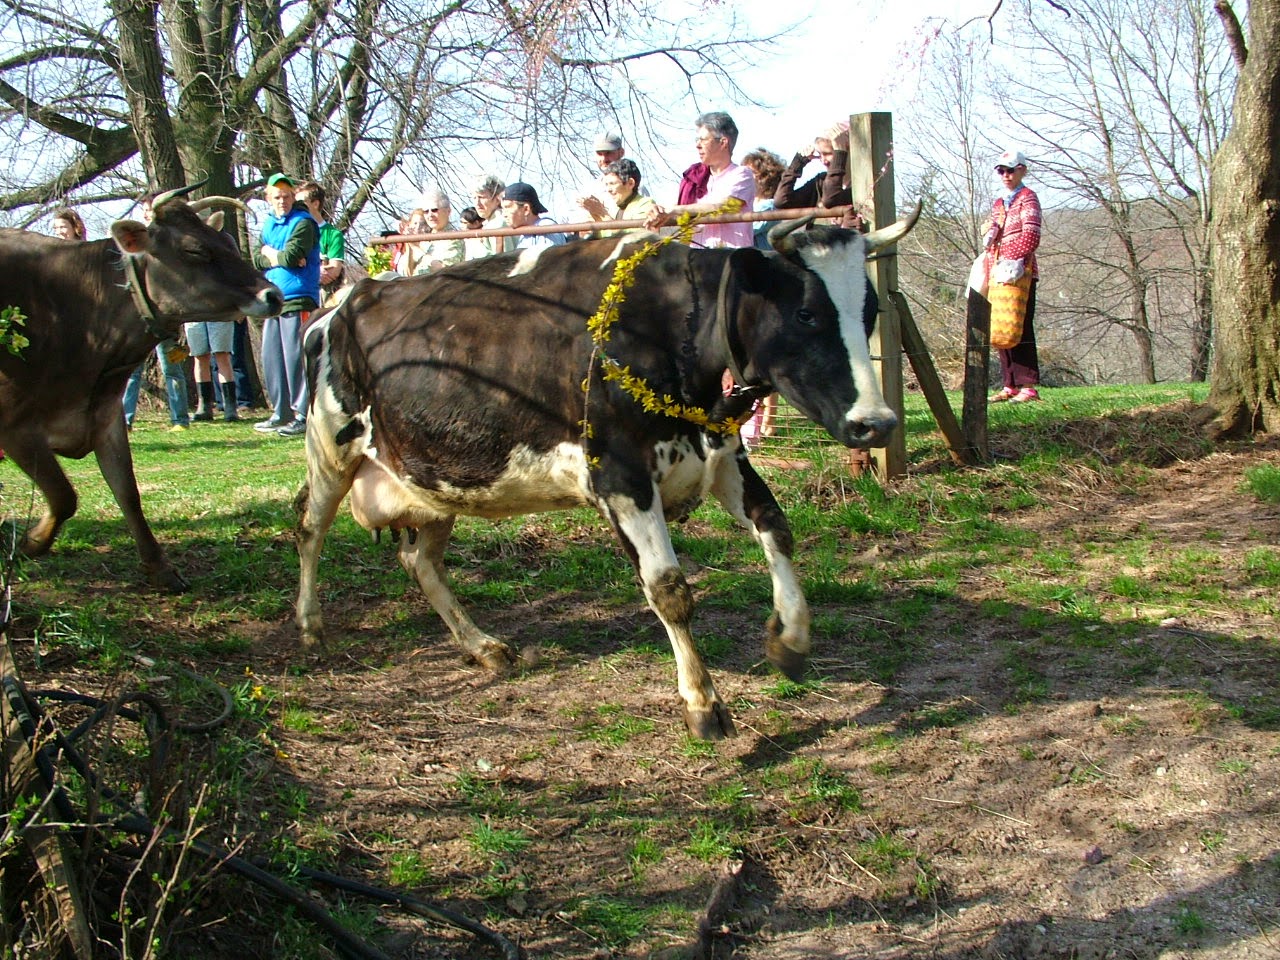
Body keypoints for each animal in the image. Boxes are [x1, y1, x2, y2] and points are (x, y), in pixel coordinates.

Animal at [0, 186, 283, 591]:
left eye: (228, 241)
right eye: (194, 249)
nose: (273, 295)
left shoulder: (105, 416)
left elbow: (127, 493)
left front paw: (159, 567)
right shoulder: (17, 426)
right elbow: (65, 495)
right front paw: (31, 542)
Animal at [295, 210, 918, 740]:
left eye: (870, 313)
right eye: (807, 313)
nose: (877, 423)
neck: (671, 330)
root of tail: (343, 302)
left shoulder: (722, 458)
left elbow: (777, 529)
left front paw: (790, 638)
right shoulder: (620, 476)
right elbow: (669, 589)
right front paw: (703, 703)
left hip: (437, 479)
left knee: (419, 560)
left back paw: (482, 645)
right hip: (330, 446)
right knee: (308, 529)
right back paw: (310, 627)